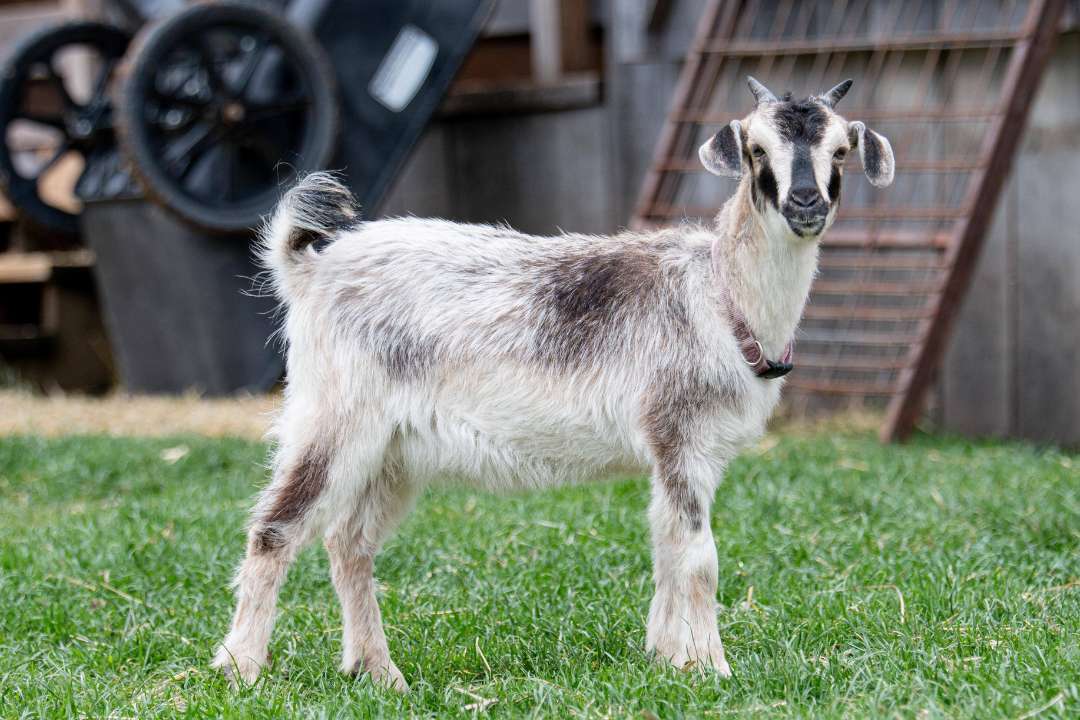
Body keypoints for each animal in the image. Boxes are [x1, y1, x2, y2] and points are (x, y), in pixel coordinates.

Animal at [212, 77, 895, 690]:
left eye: (840, 150)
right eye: (756, 149)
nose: (805, 202)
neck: (720, 293)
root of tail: (308, 267)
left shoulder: (680, 453)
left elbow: (667, 546)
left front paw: (668, 659)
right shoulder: (678, 434)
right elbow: (699, 558)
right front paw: (713, 669)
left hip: (393, 450)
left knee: (348, 542)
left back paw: (378, 673)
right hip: (334, 414)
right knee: (276, 528)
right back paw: (242, 669)